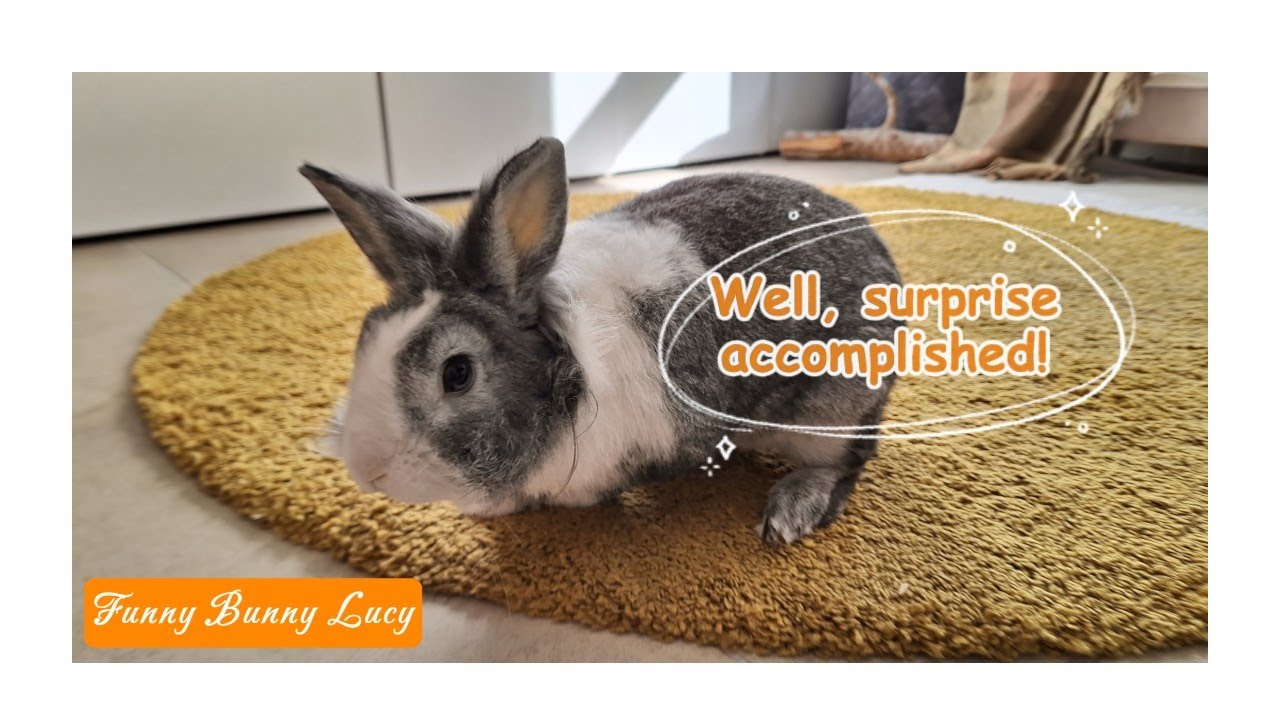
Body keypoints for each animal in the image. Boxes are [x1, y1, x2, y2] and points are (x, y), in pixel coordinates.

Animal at [301, 137, 901, 545]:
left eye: (457, 372)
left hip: (831, 411)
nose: (366, 471)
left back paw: (791, 510)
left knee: (845, 463)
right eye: (366, 336)